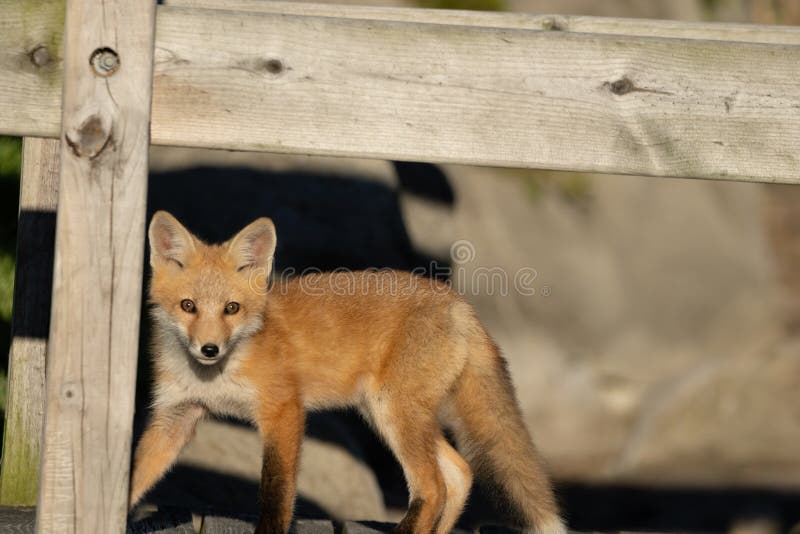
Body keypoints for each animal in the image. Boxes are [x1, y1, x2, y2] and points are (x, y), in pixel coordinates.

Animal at [129, 210, 565, 534]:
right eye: (188, 306)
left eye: (231, 309)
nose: (209, 349)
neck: (220, 372)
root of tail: (457, 302)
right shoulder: (177, 416)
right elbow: (134, 477)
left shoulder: (284, 412)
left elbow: (275, 496)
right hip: (389, 414)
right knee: (460, 473)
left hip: (394, 413)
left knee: (434, 487)